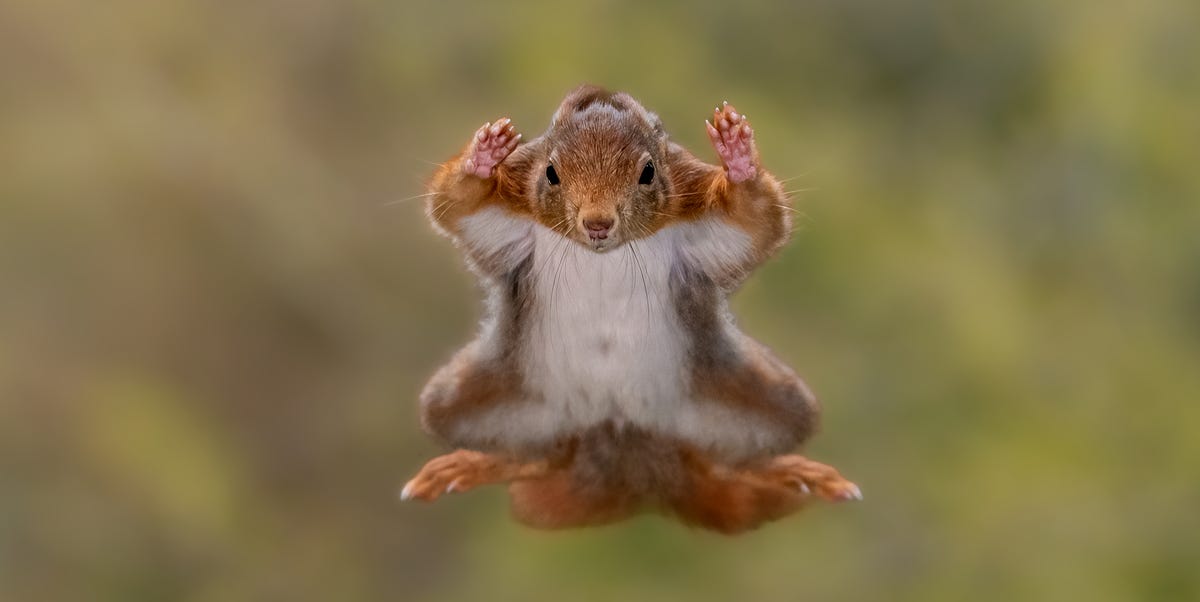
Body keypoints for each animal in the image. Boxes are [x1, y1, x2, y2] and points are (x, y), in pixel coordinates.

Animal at [401, 86, 860, 534]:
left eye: (648, 172)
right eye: (551, 172)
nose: (597, 224)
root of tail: (624, 448)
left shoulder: (697, 214)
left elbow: (755, 222)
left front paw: (739, 158)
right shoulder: (510, 213)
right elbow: (457, 207)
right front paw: (483, 158)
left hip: (758, 398)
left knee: (722, 460)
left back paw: (786, 471)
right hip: (479, 399)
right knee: (540, 455)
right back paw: (478, 463)